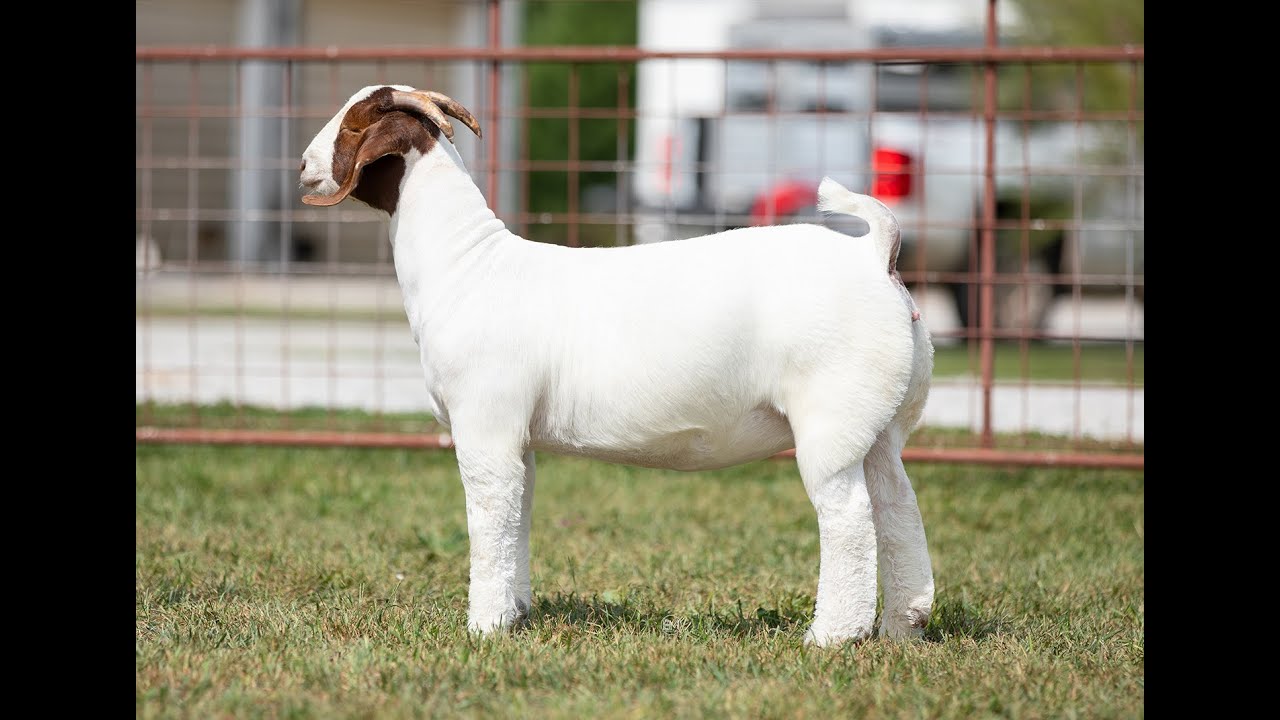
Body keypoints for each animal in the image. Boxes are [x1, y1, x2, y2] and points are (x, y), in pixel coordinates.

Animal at [299, 86, 935, 647]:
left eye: (354, 124)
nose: (304, 165)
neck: (468, 264)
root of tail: (875, 254)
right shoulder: (516, 438)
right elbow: (518, 517)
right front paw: (516, 613)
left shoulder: (485, 425)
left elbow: (490, 522)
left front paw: (484, 627)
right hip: (882, 423)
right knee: (898, 508)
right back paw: (903, 626)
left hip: (831, 418)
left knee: (849, 519)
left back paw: (831, 636)